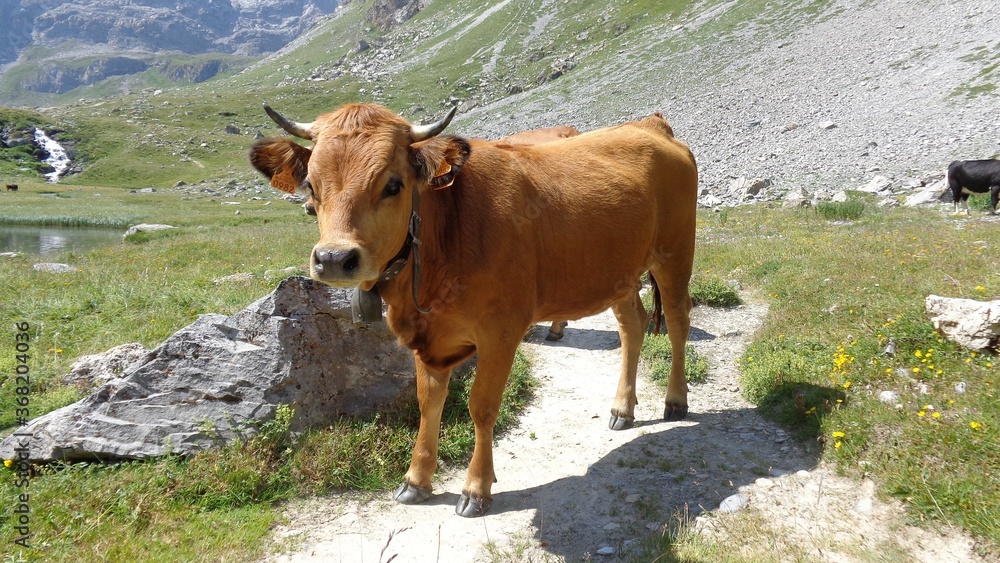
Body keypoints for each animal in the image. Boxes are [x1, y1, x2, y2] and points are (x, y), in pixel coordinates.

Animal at [249, 103, 697, 517]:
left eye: (393, 185)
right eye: (311, 186)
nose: (334, 258)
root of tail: (649, 124)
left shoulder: (501, 331)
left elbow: (481, 407)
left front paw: (476, 488)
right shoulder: (430, 336)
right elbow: (428, 402)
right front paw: (416, 480)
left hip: (675, 255)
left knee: (678, 321)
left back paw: (675, 400)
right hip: (618, 272)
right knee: (632, 326)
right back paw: (622, 408)